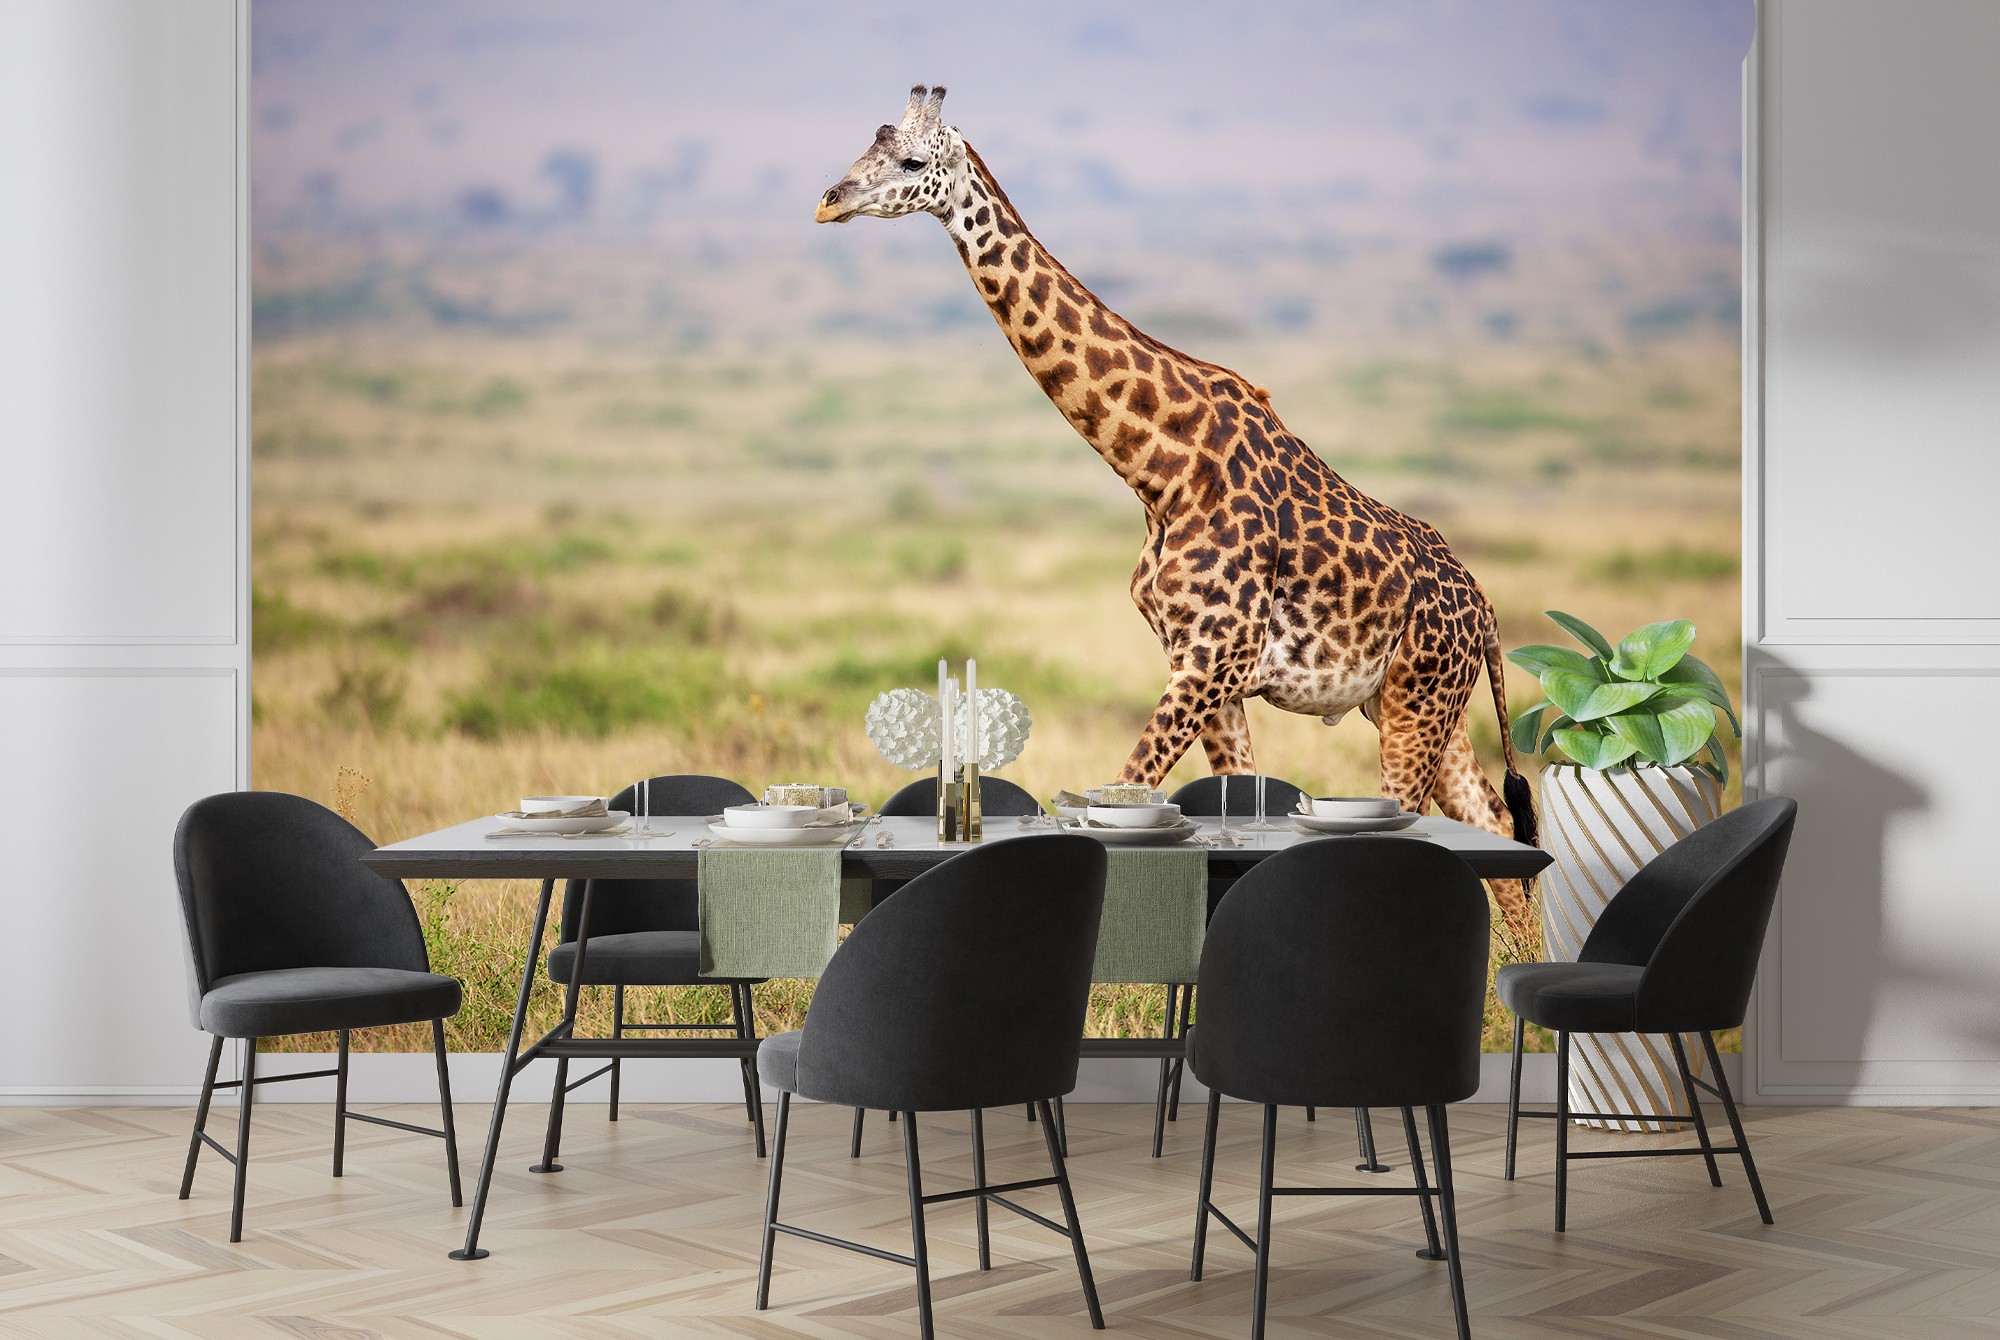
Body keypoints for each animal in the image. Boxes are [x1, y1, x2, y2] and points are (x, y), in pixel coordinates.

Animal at [818, 86, 1538, 923]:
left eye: (910, 161)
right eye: (868, 143)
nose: (829, 202)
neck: (1160, 469)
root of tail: (1484, 608)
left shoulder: (1207, 664)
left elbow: (1127, 788)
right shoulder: (1206, 672)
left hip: (1419, 703)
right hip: (1411, 701)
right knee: (1494, 820)